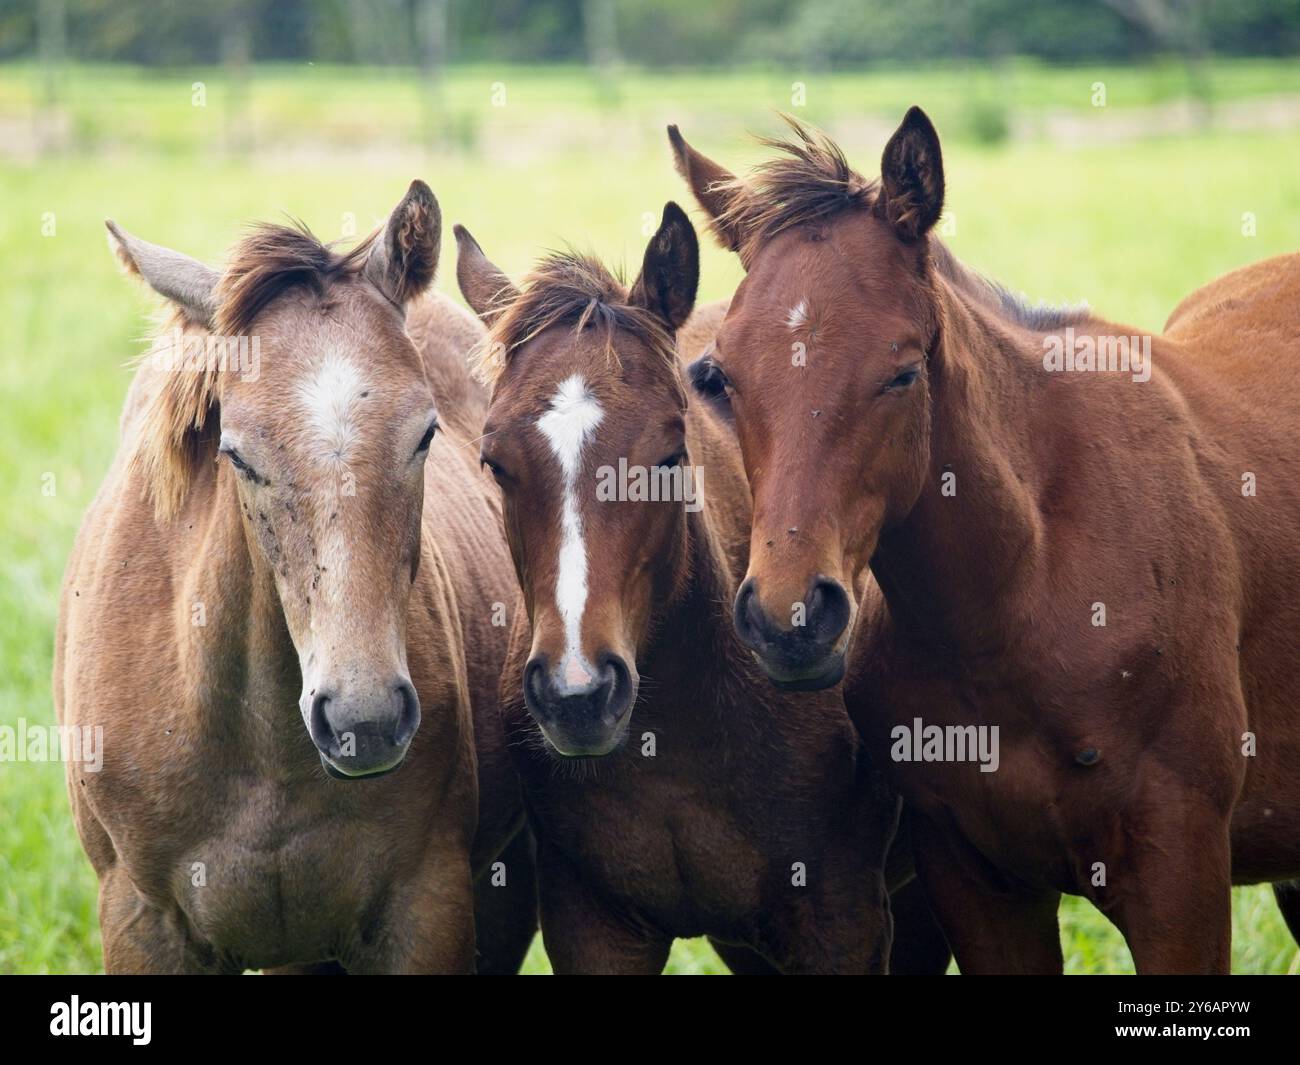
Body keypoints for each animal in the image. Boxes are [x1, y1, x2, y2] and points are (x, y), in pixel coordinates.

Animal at [669, 110, 1300, 973]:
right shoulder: (974, 880)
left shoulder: (1181, 872)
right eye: (719, 375)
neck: (1025, 590)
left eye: (902, 373)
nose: (789, 618)